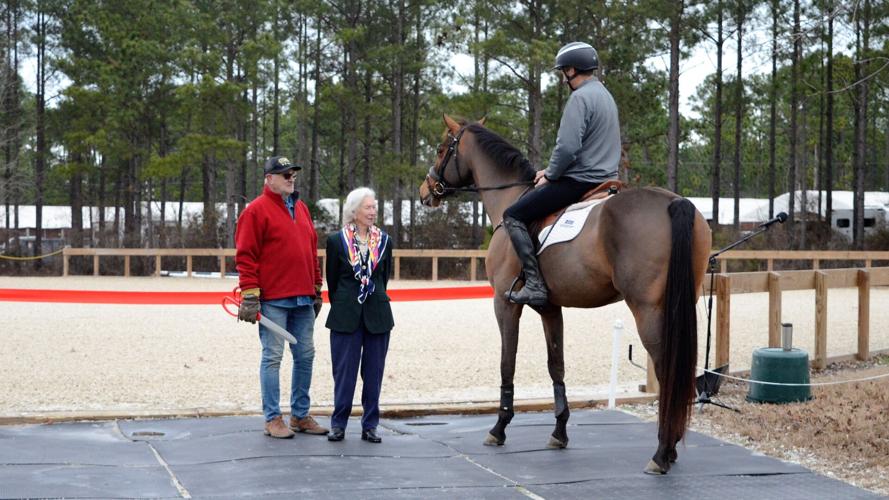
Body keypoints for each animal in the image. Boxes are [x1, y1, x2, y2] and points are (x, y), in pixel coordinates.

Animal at [418, 115, 712, 474]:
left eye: (441, 148)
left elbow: (507, 363)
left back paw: (661, 453)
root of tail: (674, 202)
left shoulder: (504, 304)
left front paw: (499, 428)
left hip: (648, 310)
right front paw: (559, 432)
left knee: (667, 368)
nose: (426, 191)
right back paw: (668, 450)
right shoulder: (550, 307)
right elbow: (555, 365)